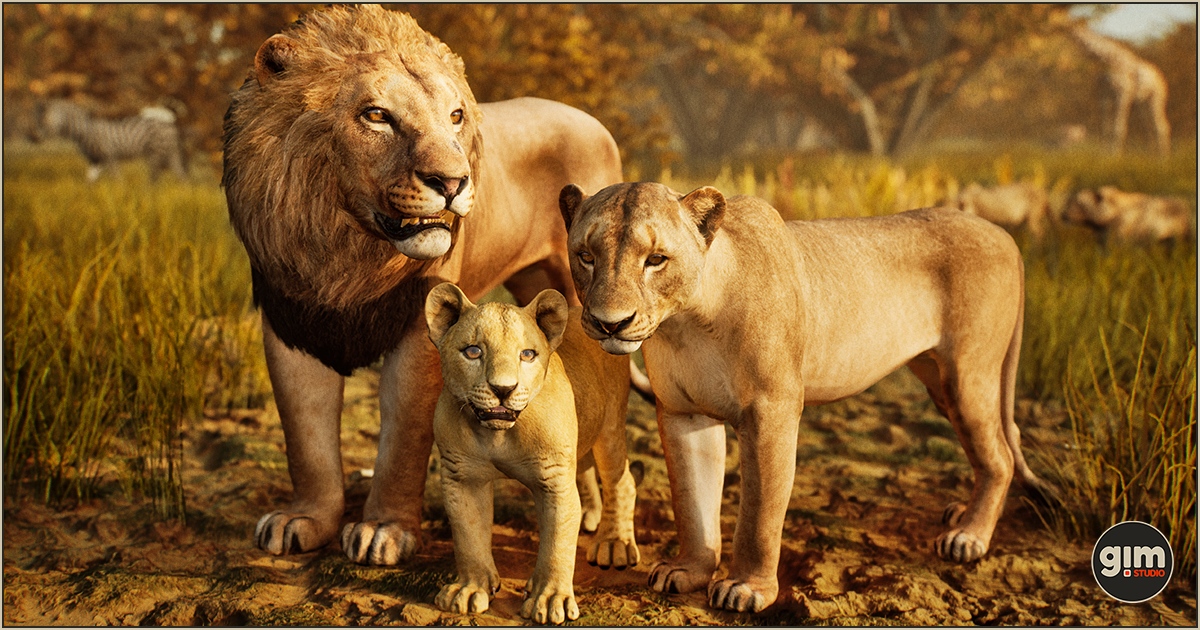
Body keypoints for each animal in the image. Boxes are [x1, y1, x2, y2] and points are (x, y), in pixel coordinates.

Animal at [221, 4, 623, 565]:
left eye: (454, 117)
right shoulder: (291, 321)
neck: (345, 249)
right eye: (376, 115)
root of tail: (591, 120)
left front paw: (383, 530)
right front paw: (304, 520)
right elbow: (305, 436)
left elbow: (404, 440)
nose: (452, 182)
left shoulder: (419, 331)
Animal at [425, 283, 639, 624]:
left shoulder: (555, 482)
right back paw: (592, 517)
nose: (503, 389)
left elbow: (557, 543)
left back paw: (614, 544)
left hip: (610, 428)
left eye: (527, 354)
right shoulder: (462, 477)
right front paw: (469, 590)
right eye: (473, 351)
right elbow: (468, 536)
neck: (498, 434)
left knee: (622, 481)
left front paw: (549, 601)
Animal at [558, 182, 1055, 613]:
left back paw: (968, 537)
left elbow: (759, 511)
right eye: (586, 256)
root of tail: (1005, 236)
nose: (609, 323)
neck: (687, 323)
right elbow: (691, 501)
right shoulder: (683, 414)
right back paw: (959, 516)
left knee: (1000, 457)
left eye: (656, 259)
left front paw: (746, 588)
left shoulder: (771, 413)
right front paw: (689, 571)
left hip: (967, 376)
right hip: (939, 383)